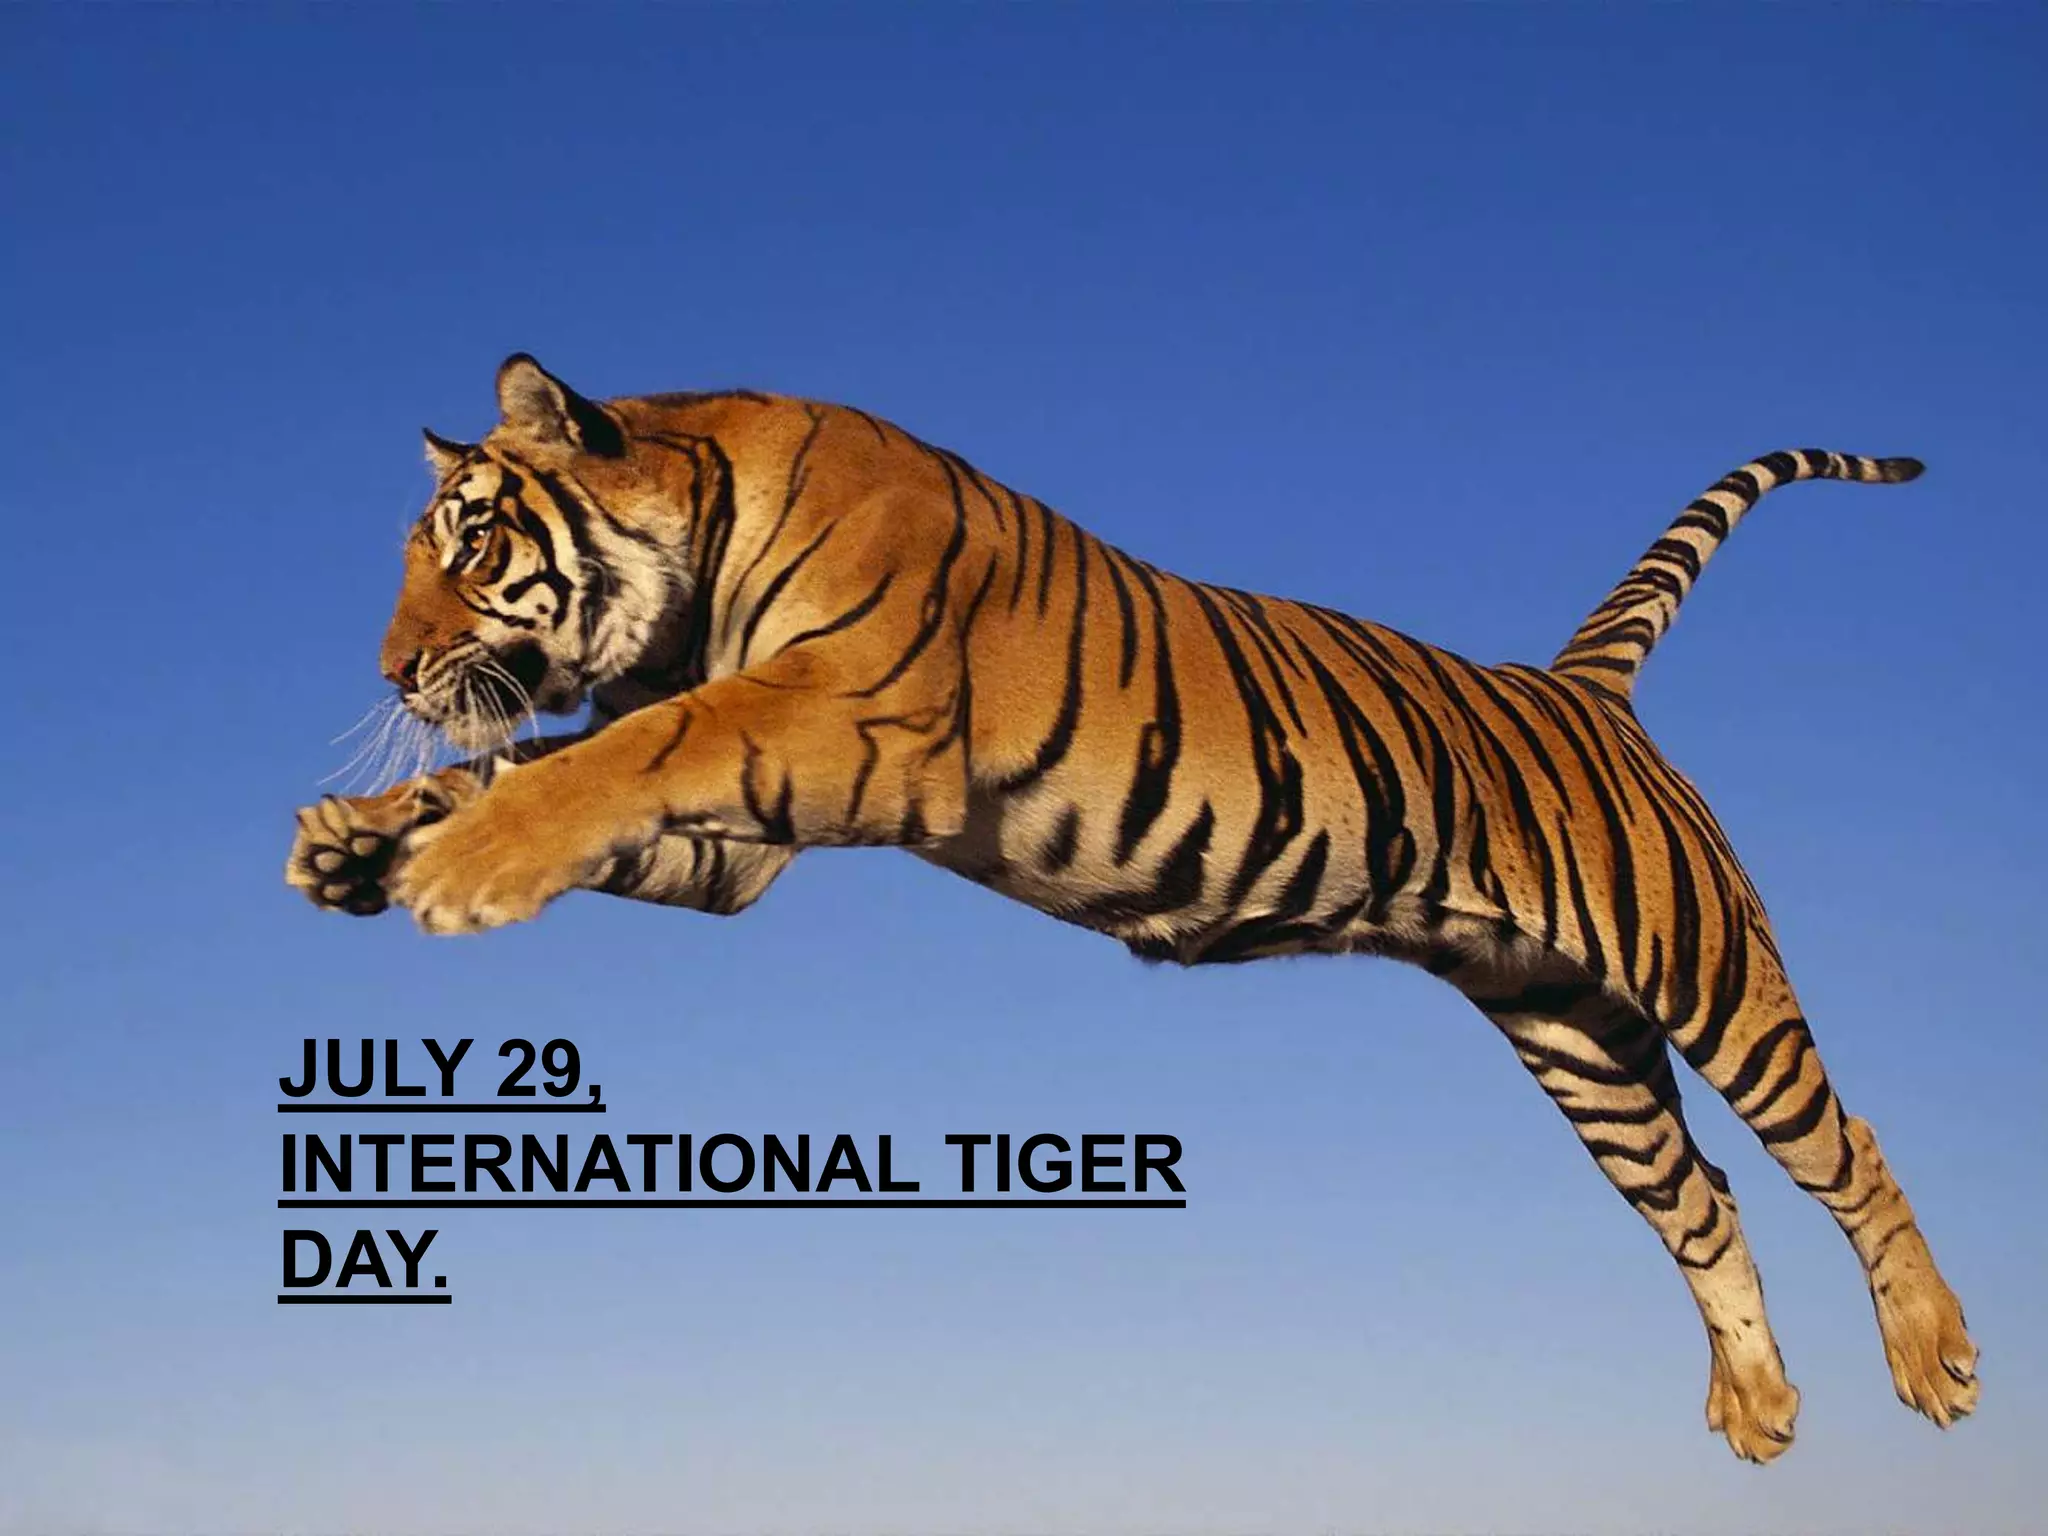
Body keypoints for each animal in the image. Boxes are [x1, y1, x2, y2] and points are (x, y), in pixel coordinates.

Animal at [286, 353, 1978, 1462]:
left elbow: (612, 752)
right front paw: (357, 841)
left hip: (1706, 971)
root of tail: (1580, 687)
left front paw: (460, 866)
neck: (697, 568)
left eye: (475, 543)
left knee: (1845, 1144)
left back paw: (1937, 1358)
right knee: (1701, 1198)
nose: (389, 670)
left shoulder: (841, 722)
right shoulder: (746, 843)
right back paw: (1759, 1409)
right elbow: (538, 764)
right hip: (1574, 1034)